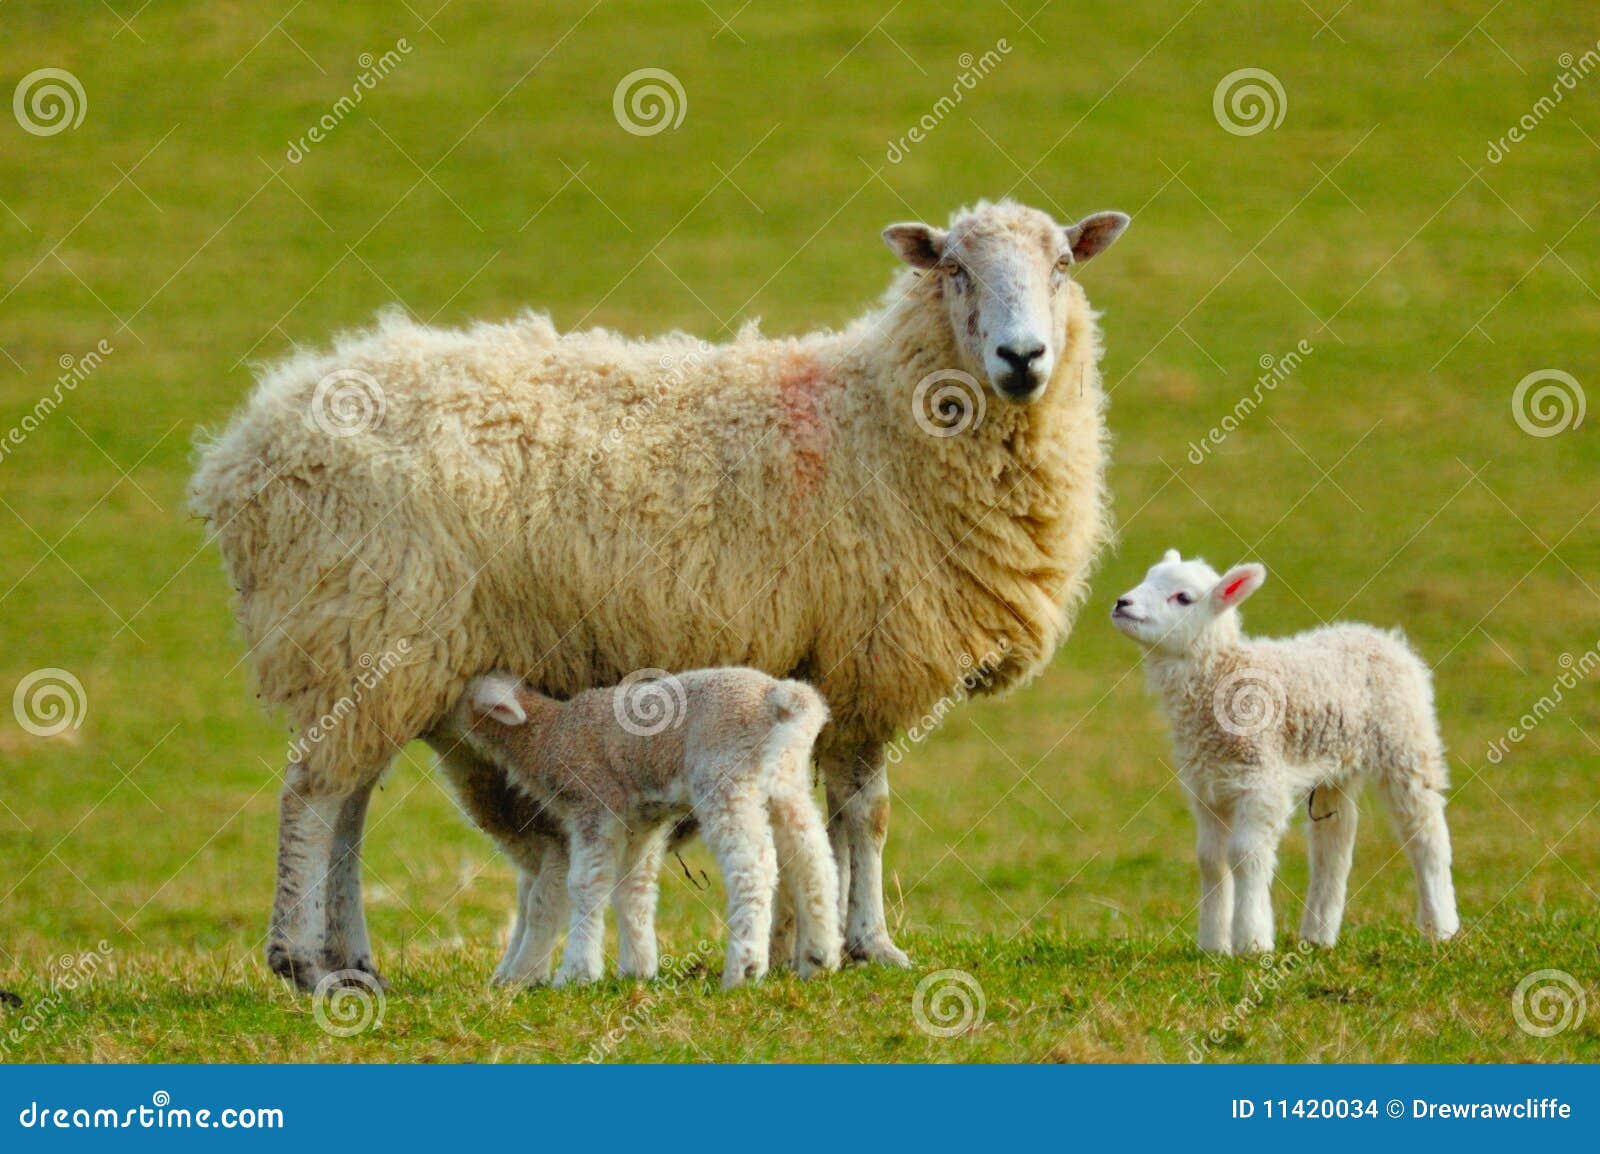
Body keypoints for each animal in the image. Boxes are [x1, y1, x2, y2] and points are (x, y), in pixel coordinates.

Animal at [426, 668, 841, 988]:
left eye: (457, 694)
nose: (428, 719)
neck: (548, 735)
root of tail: (779, 696)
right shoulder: (641, 823)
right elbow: (633, 890)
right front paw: (637, 968)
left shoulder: (593, 804)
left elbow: (586, 885)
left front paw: (576, 973)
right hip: (785, 781)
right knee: (813, 859)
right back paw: (820, 955)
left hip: (726, 778)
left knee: (753, 867)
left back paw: (745, 968)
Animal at [1110, 550, 1460, 954]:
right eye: (1148, 577)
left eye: (1183, 598)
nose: (1122, 603)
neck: (1222, 677)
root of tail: (1385, 638)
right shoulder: (1207, 786)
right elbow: (1210, 859)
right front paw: (1213, 945)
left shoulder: (1261, 779)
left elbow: (1244, 854)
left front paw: (1252, 941)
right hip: (1336, 764)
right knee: (1334, 841)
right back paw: (1319, 934)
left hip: (1406, 740)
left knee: (1425, 831)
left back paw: (1441, 926)